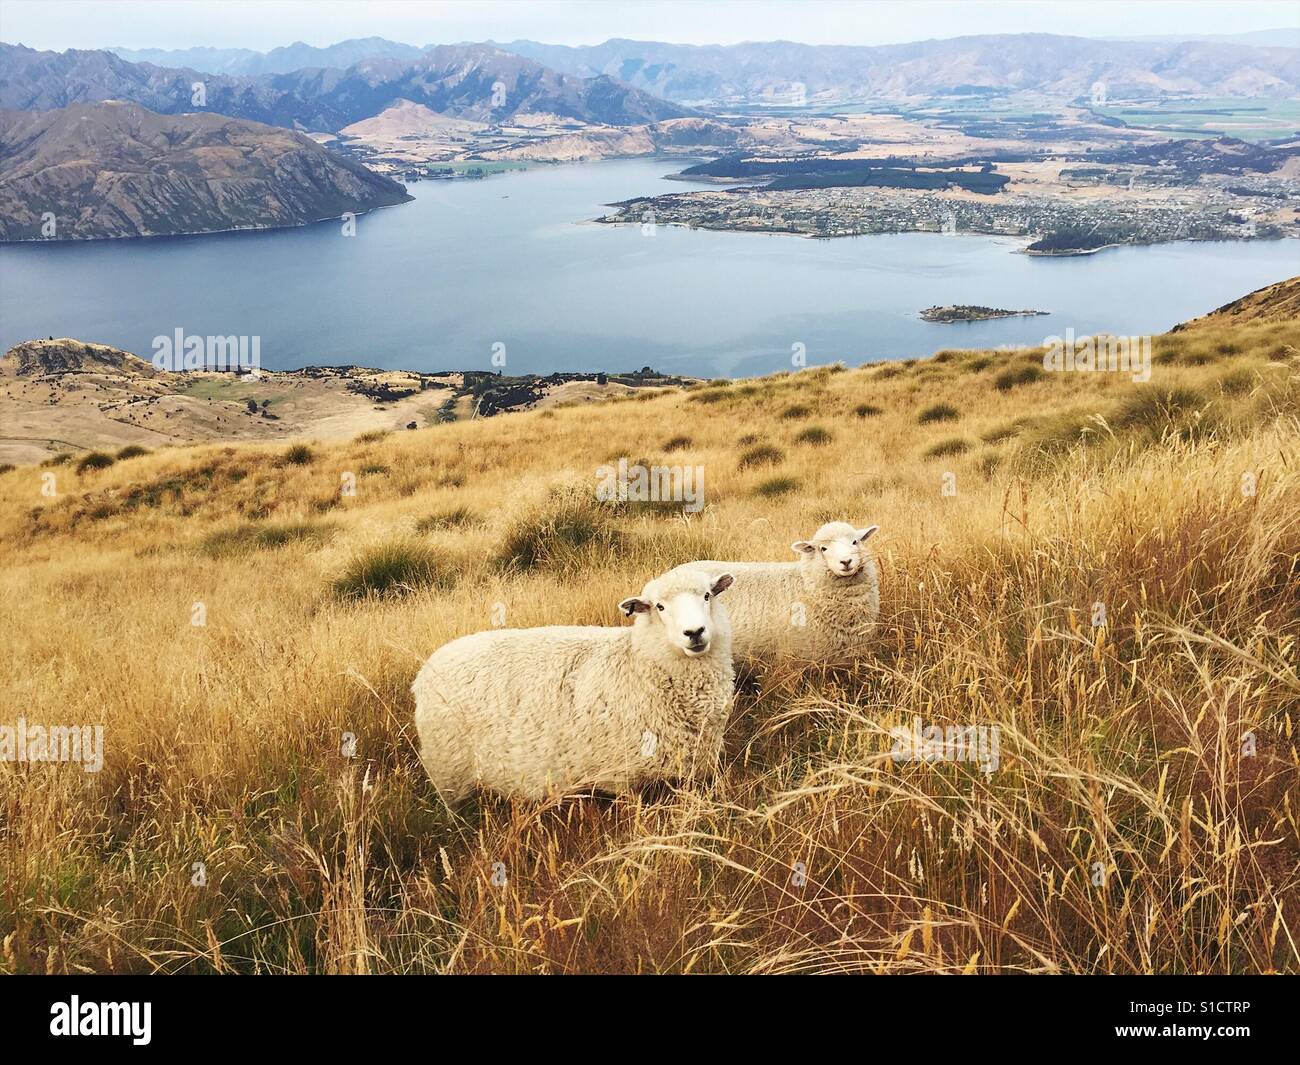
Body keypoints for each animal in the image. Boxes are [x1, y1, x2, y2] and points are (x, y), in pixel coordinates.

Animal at [411, 567, 737, 802]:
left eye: (707, 596)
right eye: (659, 607)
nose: (694, 632)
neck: (637, 665)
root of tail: (425, 671)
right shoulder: (622, 776)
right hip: (449, 774)